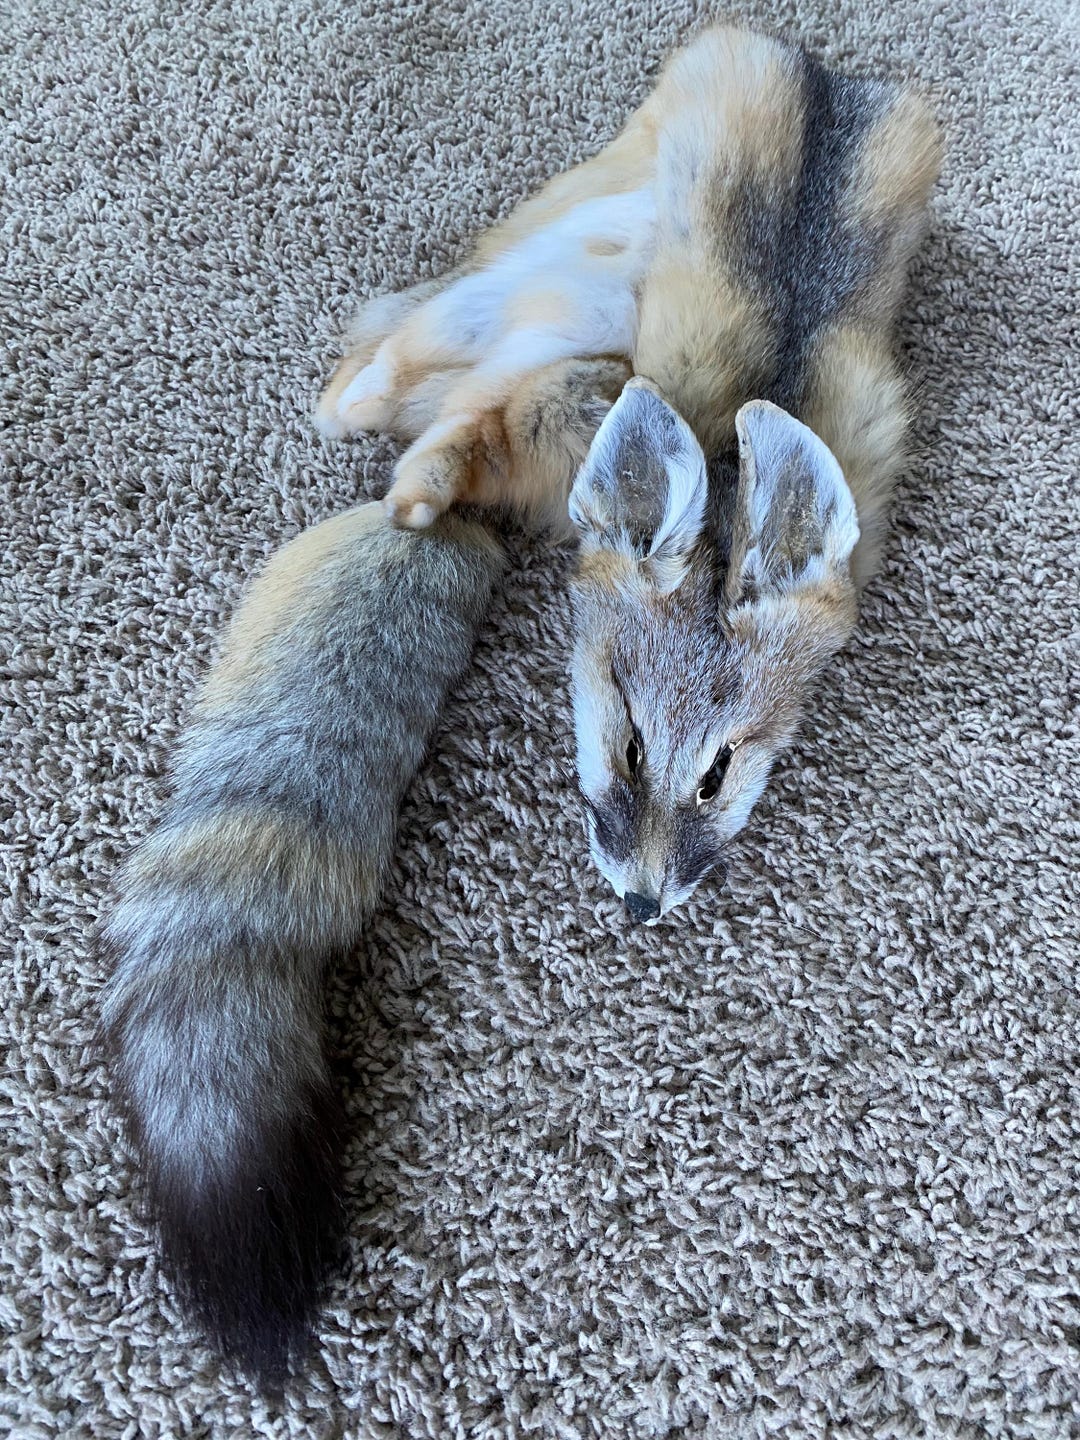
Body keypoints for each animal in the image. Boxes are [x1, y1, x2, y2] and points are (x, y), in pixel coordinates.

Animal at [318, 25, 942, 920]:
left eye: (719, 772)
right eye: (633, 745)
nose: (642, 905)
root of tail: (828, 73)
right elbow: (472, 428)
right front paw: (413, 497)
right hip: (595, 233)